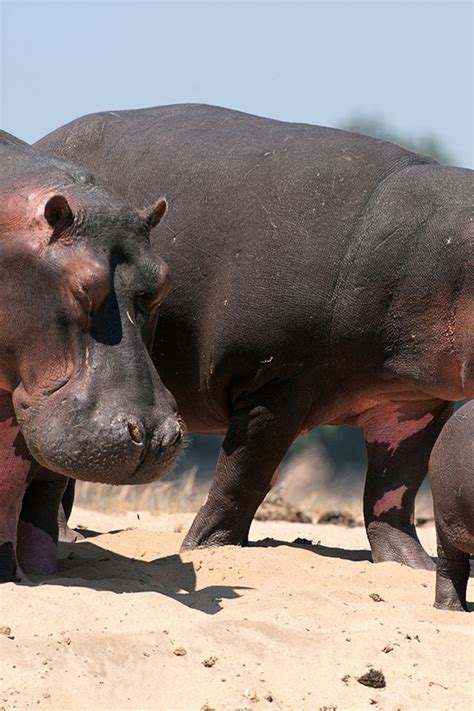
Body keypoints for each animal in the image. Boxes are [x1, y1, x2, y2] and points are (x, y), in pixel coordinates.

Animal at [35, 104, 473, 568]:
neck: (439, 260)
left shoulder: (412, 404)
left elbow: (394, 491)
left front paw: (412, 566)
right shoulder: (275, 385)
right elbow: (245, 474)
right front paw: (206, 549)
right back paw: (66, 538)